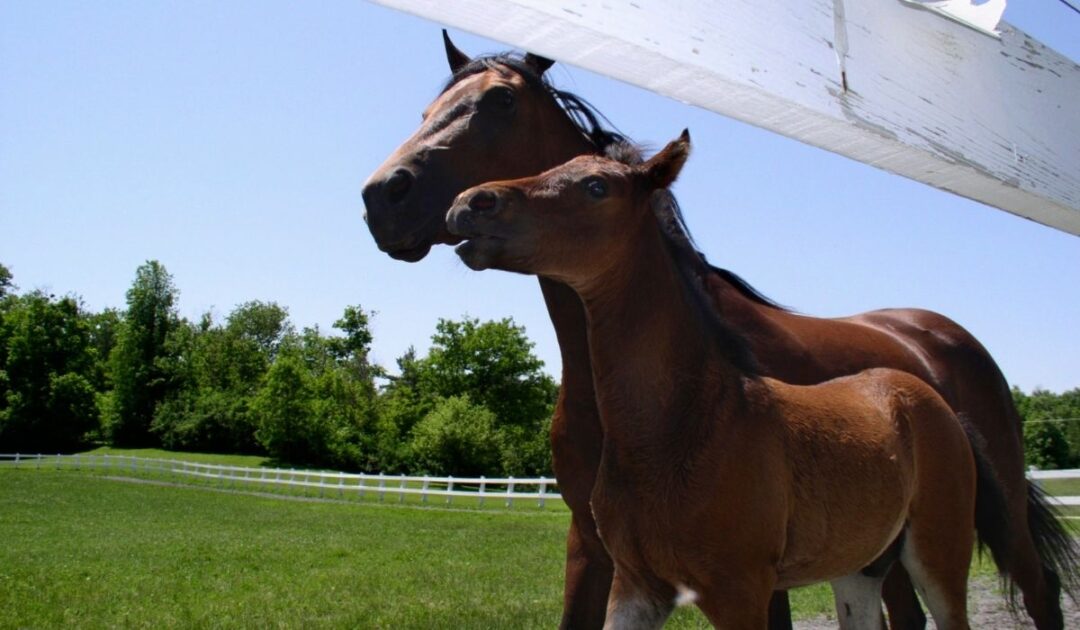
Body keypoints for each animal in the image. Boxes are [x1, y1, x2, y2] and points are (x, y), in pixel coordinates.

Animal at [445, 131, 991, 629]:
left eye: (597, 186)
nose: (470, 203)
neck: (682, 426)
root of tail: (936, 403)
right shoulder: (636, 586)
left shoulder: (740, 591)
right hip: (858, 568)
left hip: (938, 554)